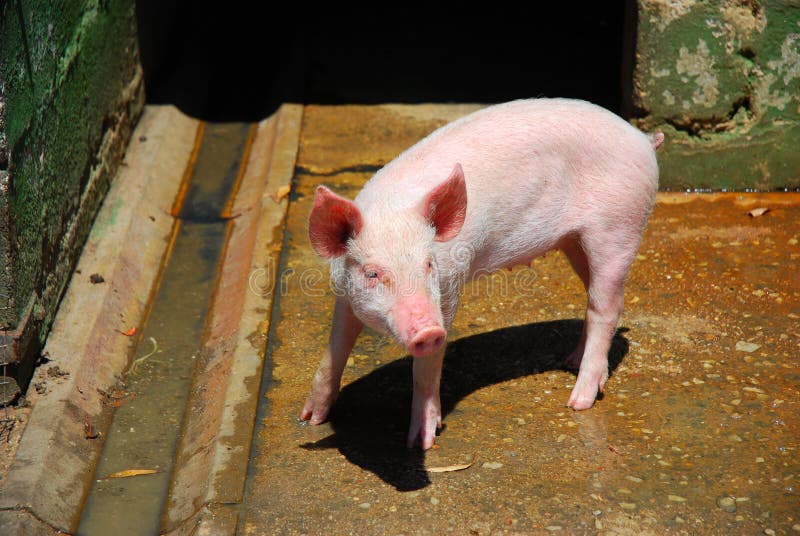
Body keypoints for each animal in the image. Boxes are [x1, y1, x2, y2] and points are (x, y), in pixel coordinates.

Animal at [301, 98, 662, 450]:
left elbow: (426, 367)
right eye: (372, 273)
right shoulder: (342, 291)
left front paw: (420, 443)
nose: (428, 330)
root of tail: (641, 138)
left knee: (606, 306)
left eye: (428, 264)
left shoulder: (448, 290)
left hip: (619, 226)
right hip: (576, 240)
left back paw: (578, 401)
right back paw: (571, 361)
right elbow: (336, 346)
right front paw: (310, 419)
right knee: (594, 298)